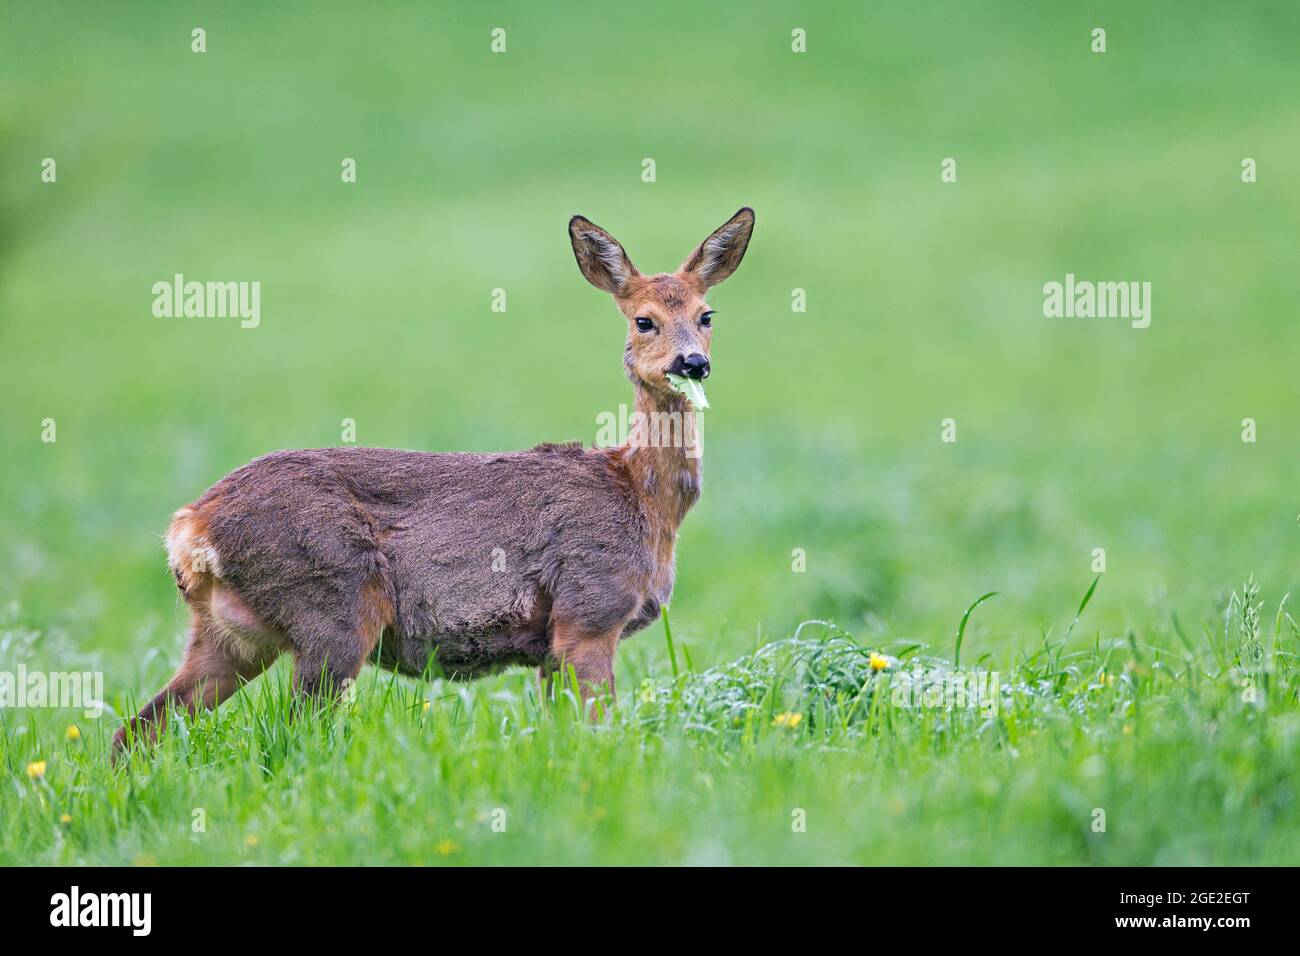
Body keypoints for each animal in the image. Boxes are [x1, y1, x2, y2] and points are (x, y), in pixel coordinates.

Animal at [112, 207, 755, 755]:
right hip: (333, 607)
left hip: (229, 634)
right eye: (644, 320)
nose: (692, 363)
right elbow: (597, 730)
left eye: (706, 316)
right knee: (295, 732)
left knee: (138, 729)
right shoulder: (588, 609)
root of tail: (189, 527)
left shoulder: (552, 645)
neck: (642, 498)